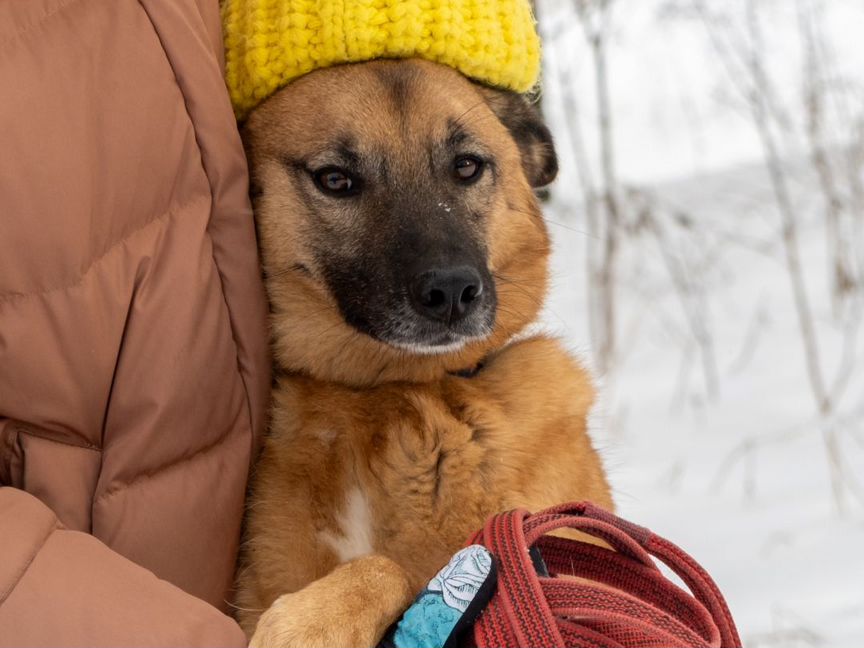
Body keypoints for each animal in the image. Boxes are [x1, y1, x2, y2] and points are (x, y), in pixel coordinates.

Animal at [236, 58, 616, 644]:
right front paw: (316, 620)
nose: (452, 291)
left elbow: (395, 568)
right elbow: (386, 567)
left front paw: (310, 623)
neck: (394, 391)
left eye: (466, 166)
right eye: (335, 179)